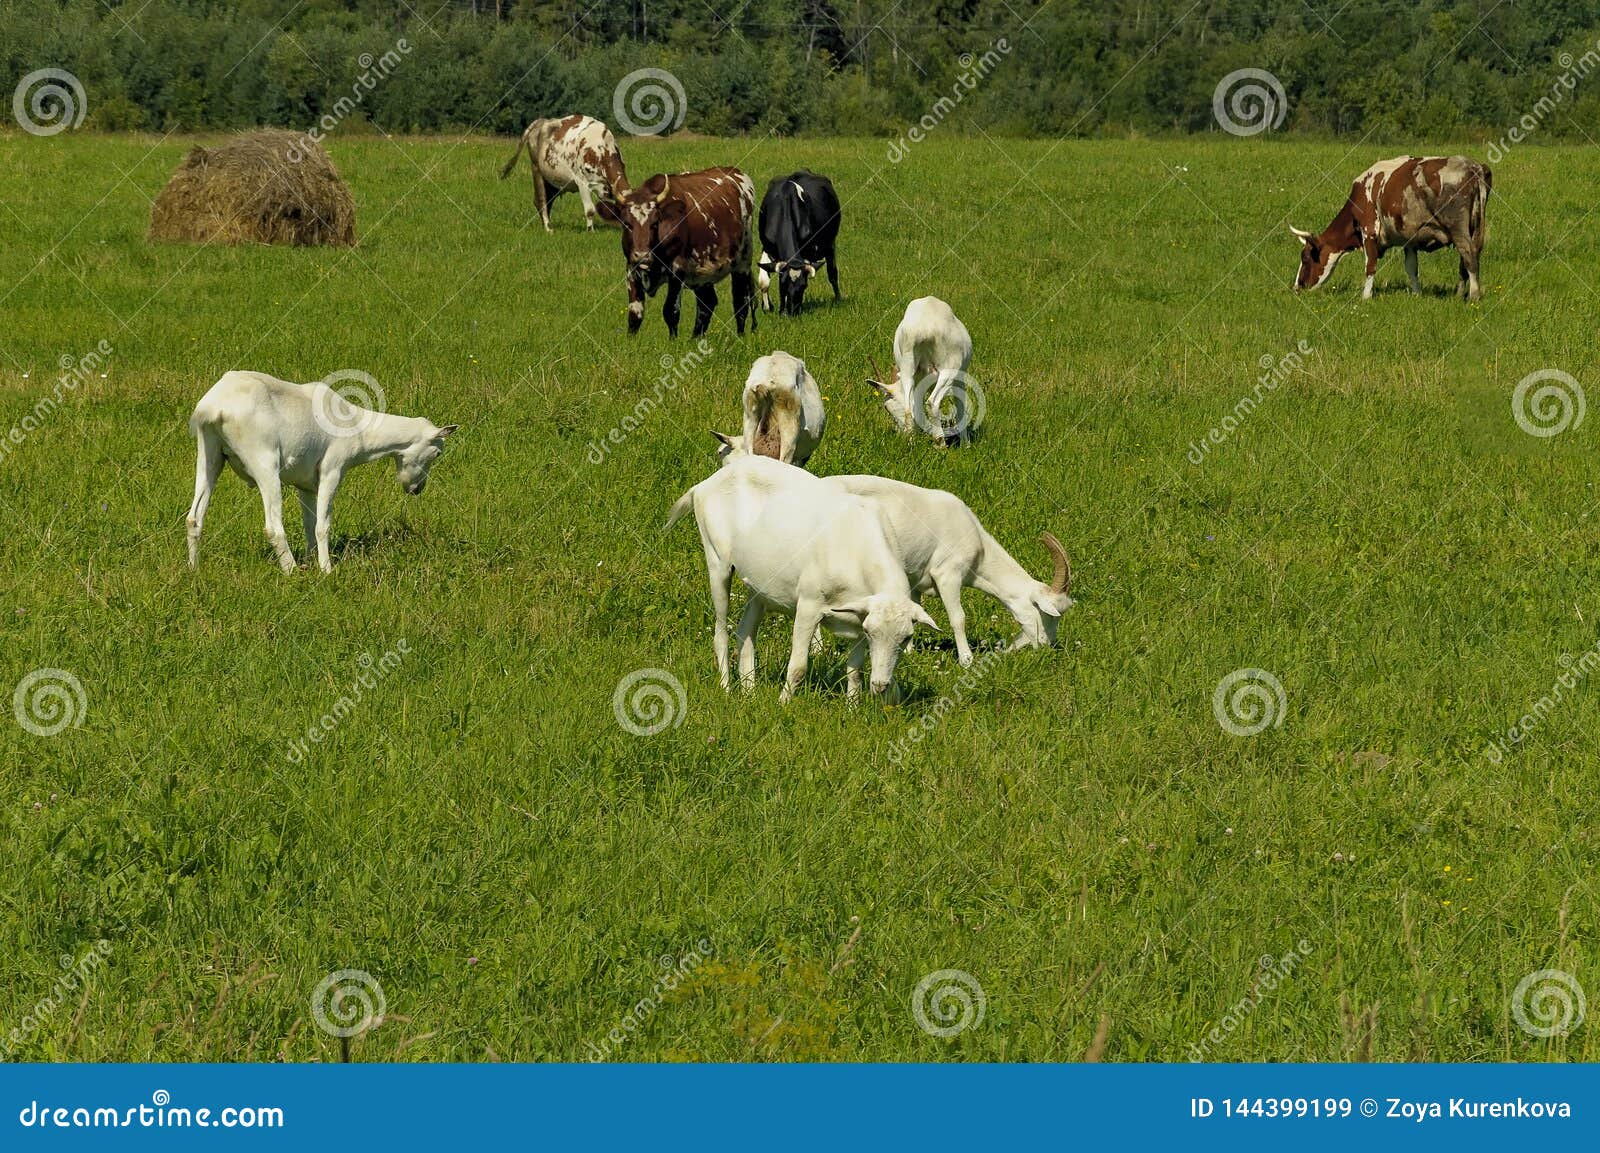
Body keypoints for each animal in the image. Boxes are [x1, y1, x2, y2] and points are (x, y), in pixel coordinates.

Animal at [187, 370, 457, 573]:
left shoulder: (305, 484)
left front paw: (311, 561)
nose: (416, 490)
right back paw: (292, 572)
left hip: (209, 454)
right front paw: (326, 569)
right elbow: (322, 525)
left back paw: (193, 569)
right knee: (273, 527)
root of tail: (214, 406)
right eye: (437, 453)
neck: (357, 426)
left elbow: (309, 524)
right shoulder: (332, 470)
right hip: (264, 462)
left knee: (194, 517)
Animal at [499, 114, 629, 232]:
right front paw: (590, 231)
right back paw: (548, 228)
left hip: (551, 180)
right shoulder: (582, 182)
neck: (602, 150)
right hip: (536, 169)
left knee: (546, 201)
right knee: (541, 200)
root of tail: (542, 121)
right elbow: (590, 210)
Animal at [595, 167, 758, 338]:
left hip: (743, 262)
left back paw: (740, 336)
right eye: (627, 224)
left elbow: (671, 311)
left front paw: (673, 341)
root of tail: (736, 172)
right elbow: (635, 314)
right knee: (707, 303)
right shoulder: (631, 270)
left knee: (740, 301)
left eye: (655, 223)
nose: (642, 255)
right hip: (702, 272)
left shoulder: (677, 271)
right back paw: (695, 338)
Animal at [758, 171, 842, 316]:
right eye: (783, 284)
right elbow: (764, 281)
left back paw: (838, 299)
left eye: (804, 286)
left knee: (832, 273)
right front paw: (769, 307)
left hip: (830, 244)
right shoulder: (767, 247)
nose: (792, 312)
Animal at [1292, 156, 1491, 302]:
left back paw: (1473, 296)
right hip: (1474, 230)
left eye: (1306, 258)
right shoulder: (1410, 240)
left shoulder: (1369, 230)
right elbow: (1411, 268)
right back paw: (1458, 295)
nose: (1297, 287)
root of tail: (1474, 167)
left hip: (1459, 230)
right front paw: (1417, 295)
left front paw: (1365, 297)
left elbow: (1370, 265)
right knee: (1465, 262)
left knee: (1469, 258)